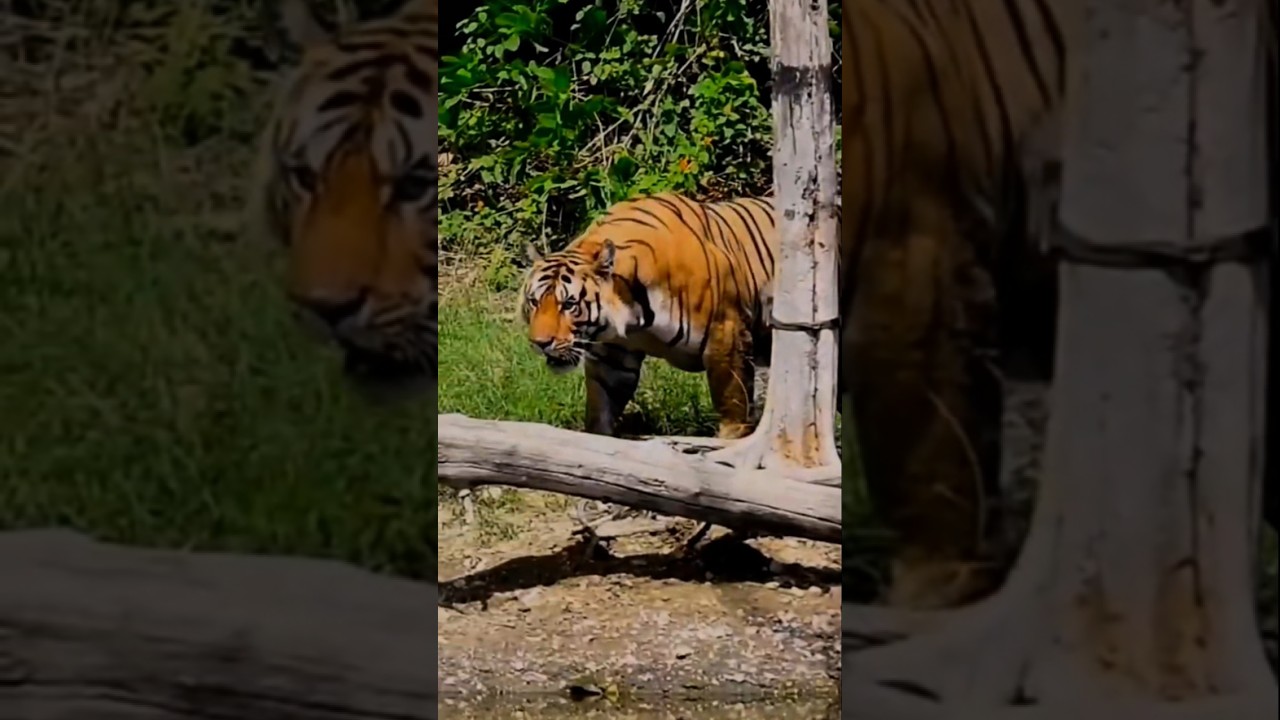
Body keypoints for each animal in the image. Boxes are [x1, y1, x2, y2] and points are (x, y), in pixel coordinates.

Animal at [520, 193, 778, 441]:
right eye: (534, 301)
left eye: (569, 304)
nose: (539, 343)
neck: (634, 318)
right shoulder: (612, 357)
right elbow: (601, 407)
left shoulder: (726, 335)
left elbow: (732, 402)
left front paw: (729, 440)